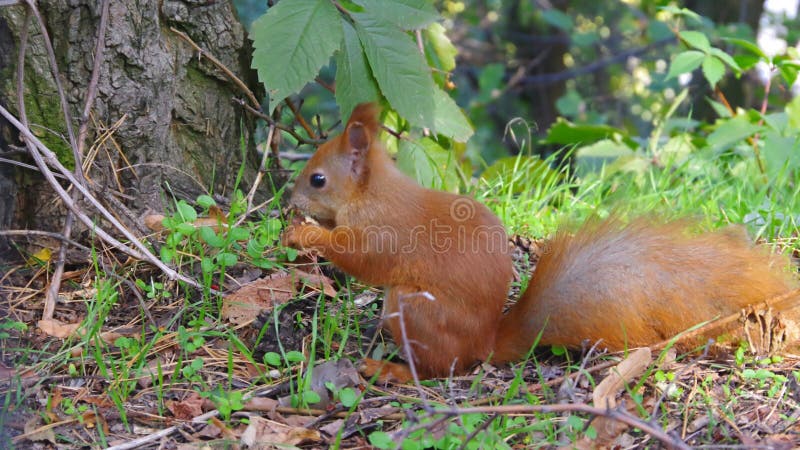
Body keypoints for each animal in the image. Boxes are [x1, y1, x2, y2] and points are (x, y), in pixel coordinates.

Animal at [282, 103, 799, 382]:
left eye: (318, 179)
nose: (290, 197)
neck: (373, 194)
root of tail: (486, 343)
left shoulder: (384, 232)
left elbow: (361, 259)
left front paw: (303, 232)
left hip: (411, 309)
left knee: (446, 368)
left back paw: (395, 371)